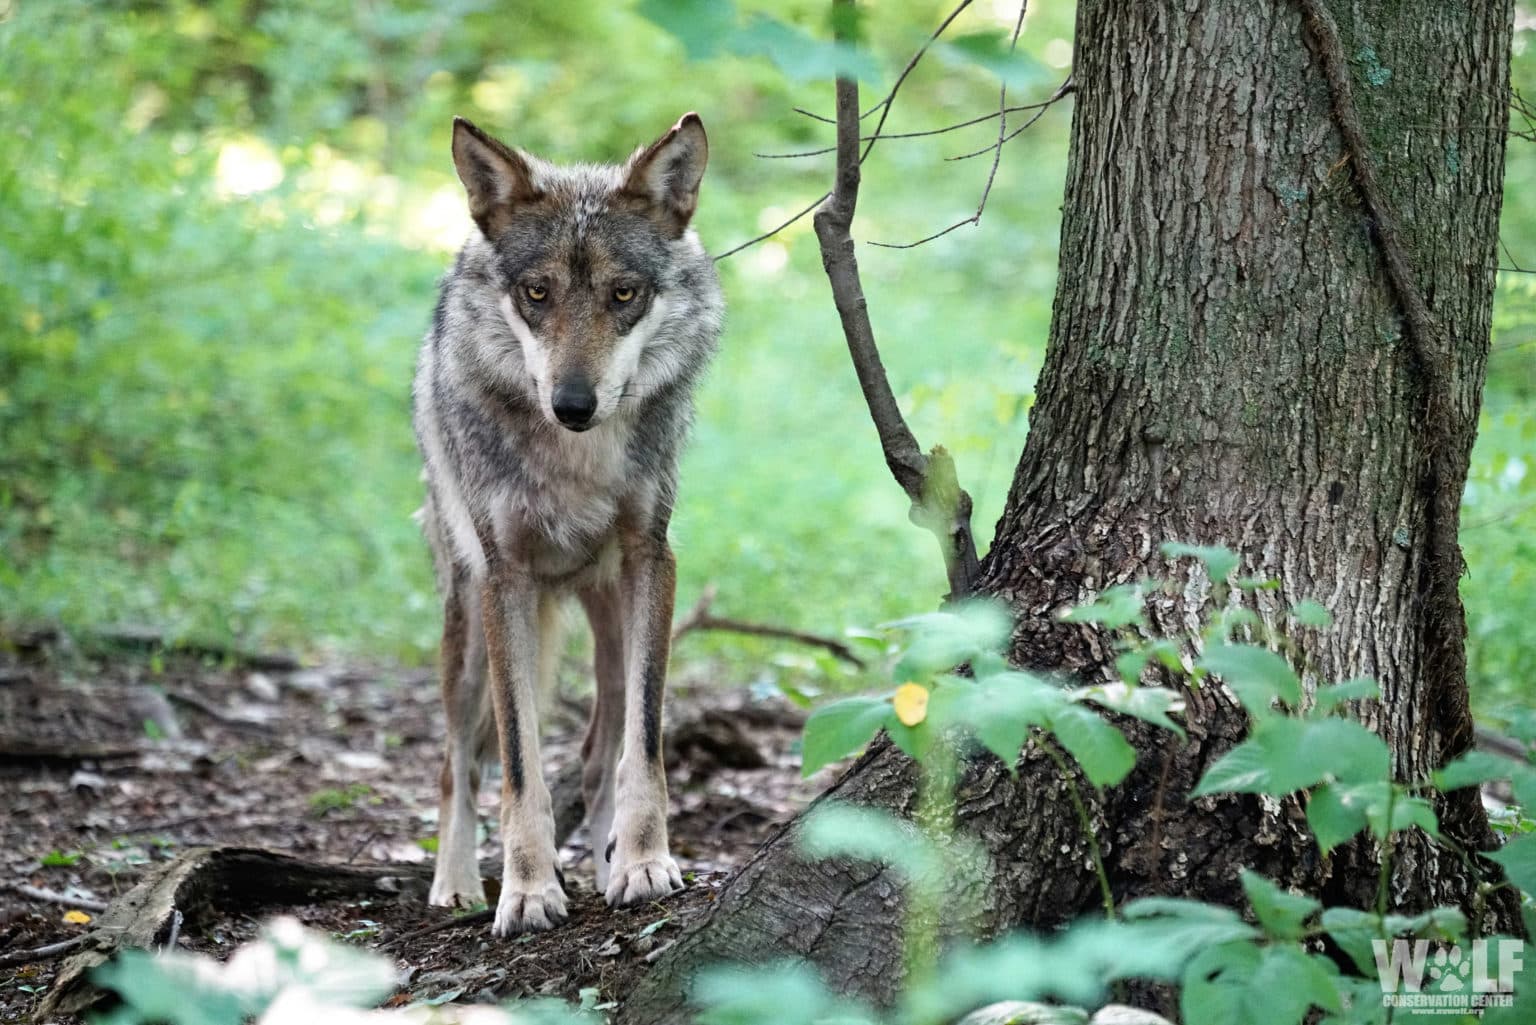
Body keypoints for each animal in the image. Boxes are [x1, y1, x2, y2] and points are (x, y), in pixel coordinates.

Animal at [411, 113, 722, 935]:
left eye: (624, 293)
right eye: (536, 292)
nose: (573, 405)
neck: (576, 460)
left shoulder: (654, 559)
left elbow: (644, 746)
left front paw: (645, 863)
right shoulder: (507, 580)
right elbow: (520, 766)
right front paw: (525, 891)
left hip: (614, 620)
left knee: (597, 749)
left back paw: (610, 858)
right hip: (466, 634)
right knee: (457, 762)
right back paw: (456, 884)